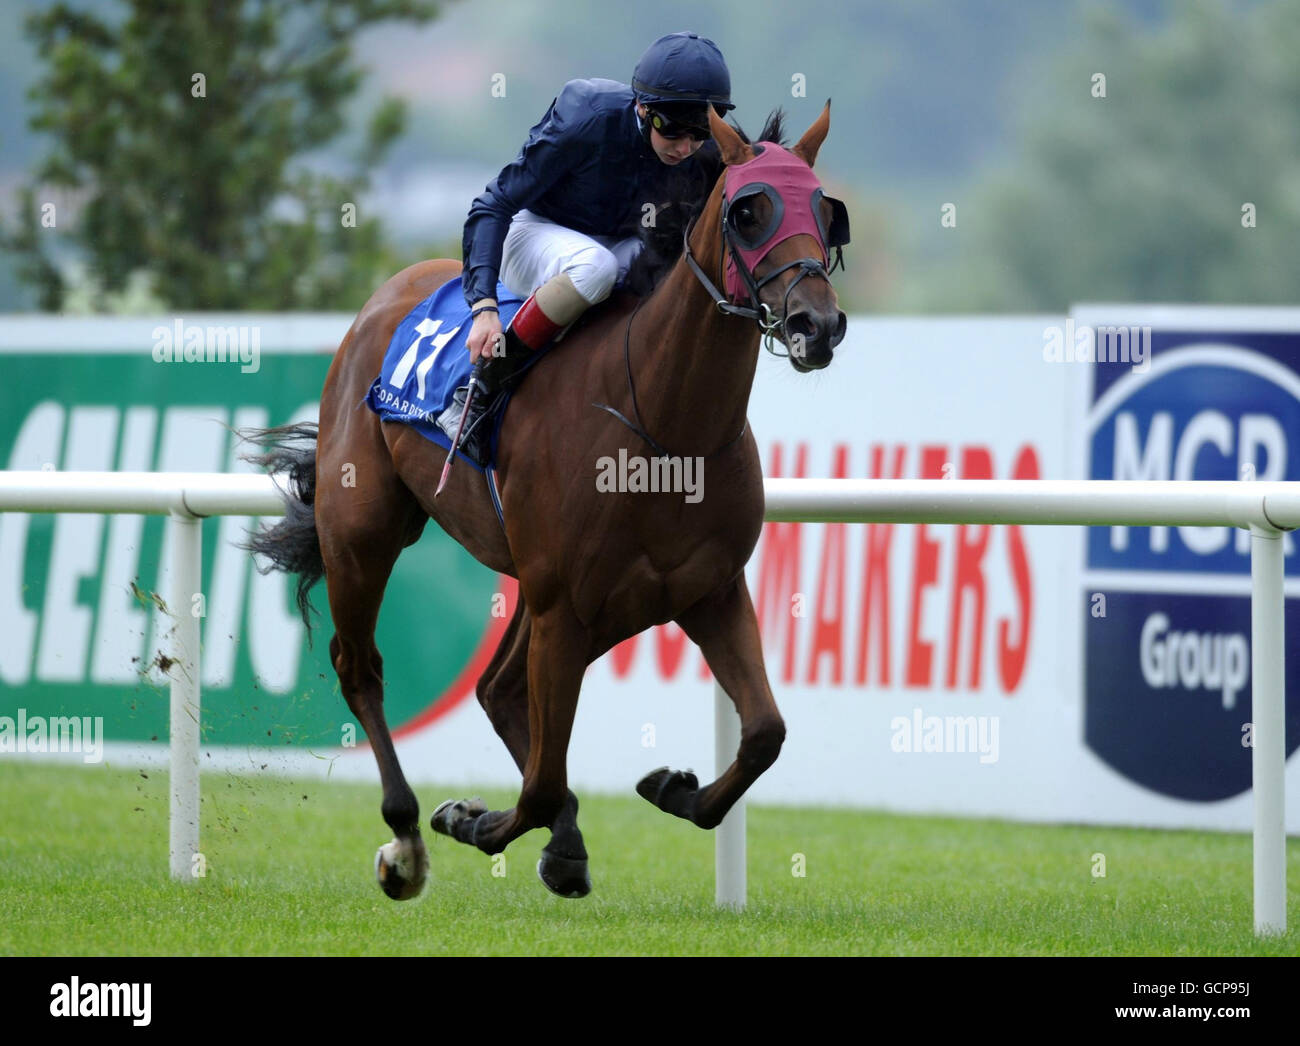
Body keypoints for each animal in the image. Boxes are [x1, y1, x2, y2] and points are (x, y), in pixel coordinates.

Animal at [244, 103, 847, 900]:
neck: (662, 424)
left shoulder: (705, 590)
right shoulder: (566, 603)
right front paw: (471, 821)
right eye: (750, 212)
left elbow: (765, 734)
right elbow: (538, 782)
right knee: (360, 667)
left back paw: (560, 841)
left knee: (496, 690)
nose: (818, 324)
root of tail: (389, 293)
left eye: (825, 211)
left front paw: (673, 790)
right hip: (363, 532)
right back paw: (407, 838)